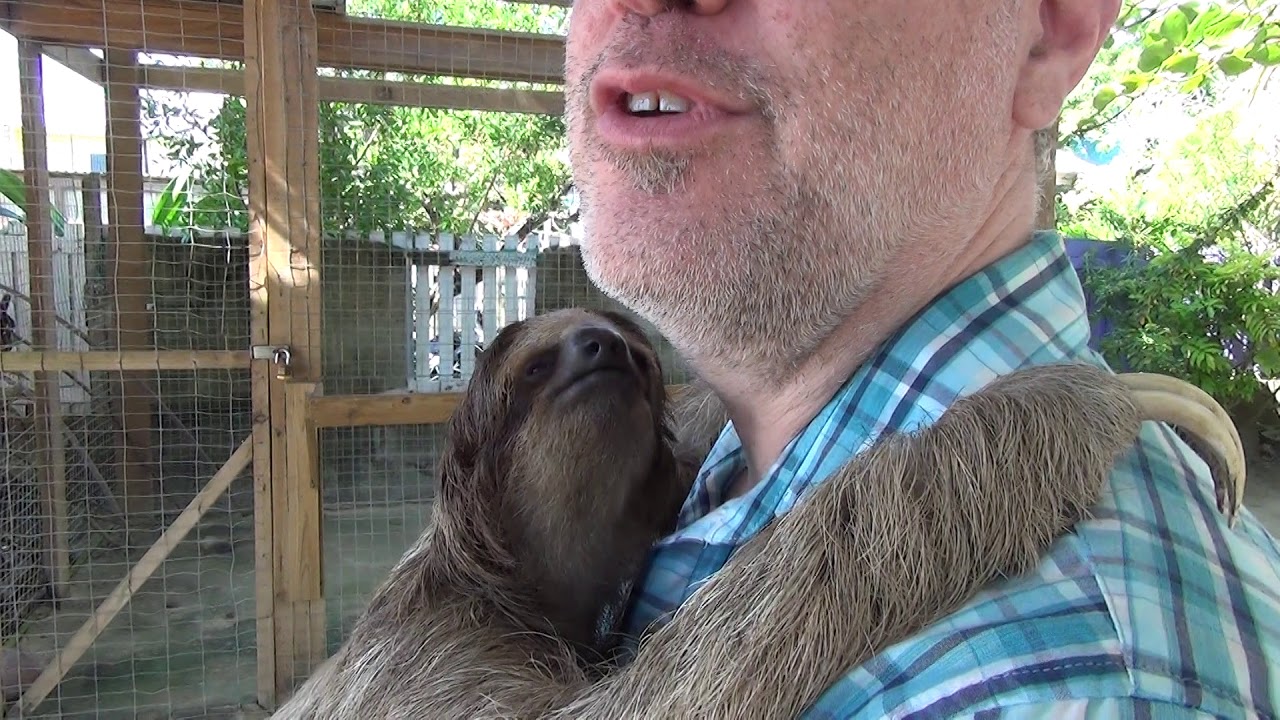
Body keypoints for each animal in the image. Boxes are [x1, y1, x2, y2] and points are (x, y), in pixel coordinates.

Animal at [273, 307, 1245, 720]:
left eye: (633, 355)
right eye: (536, 371)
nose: (601, 347)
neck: (504, 590)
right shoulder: (435, 661)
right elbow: (657, 703)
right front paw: (1081, 398)